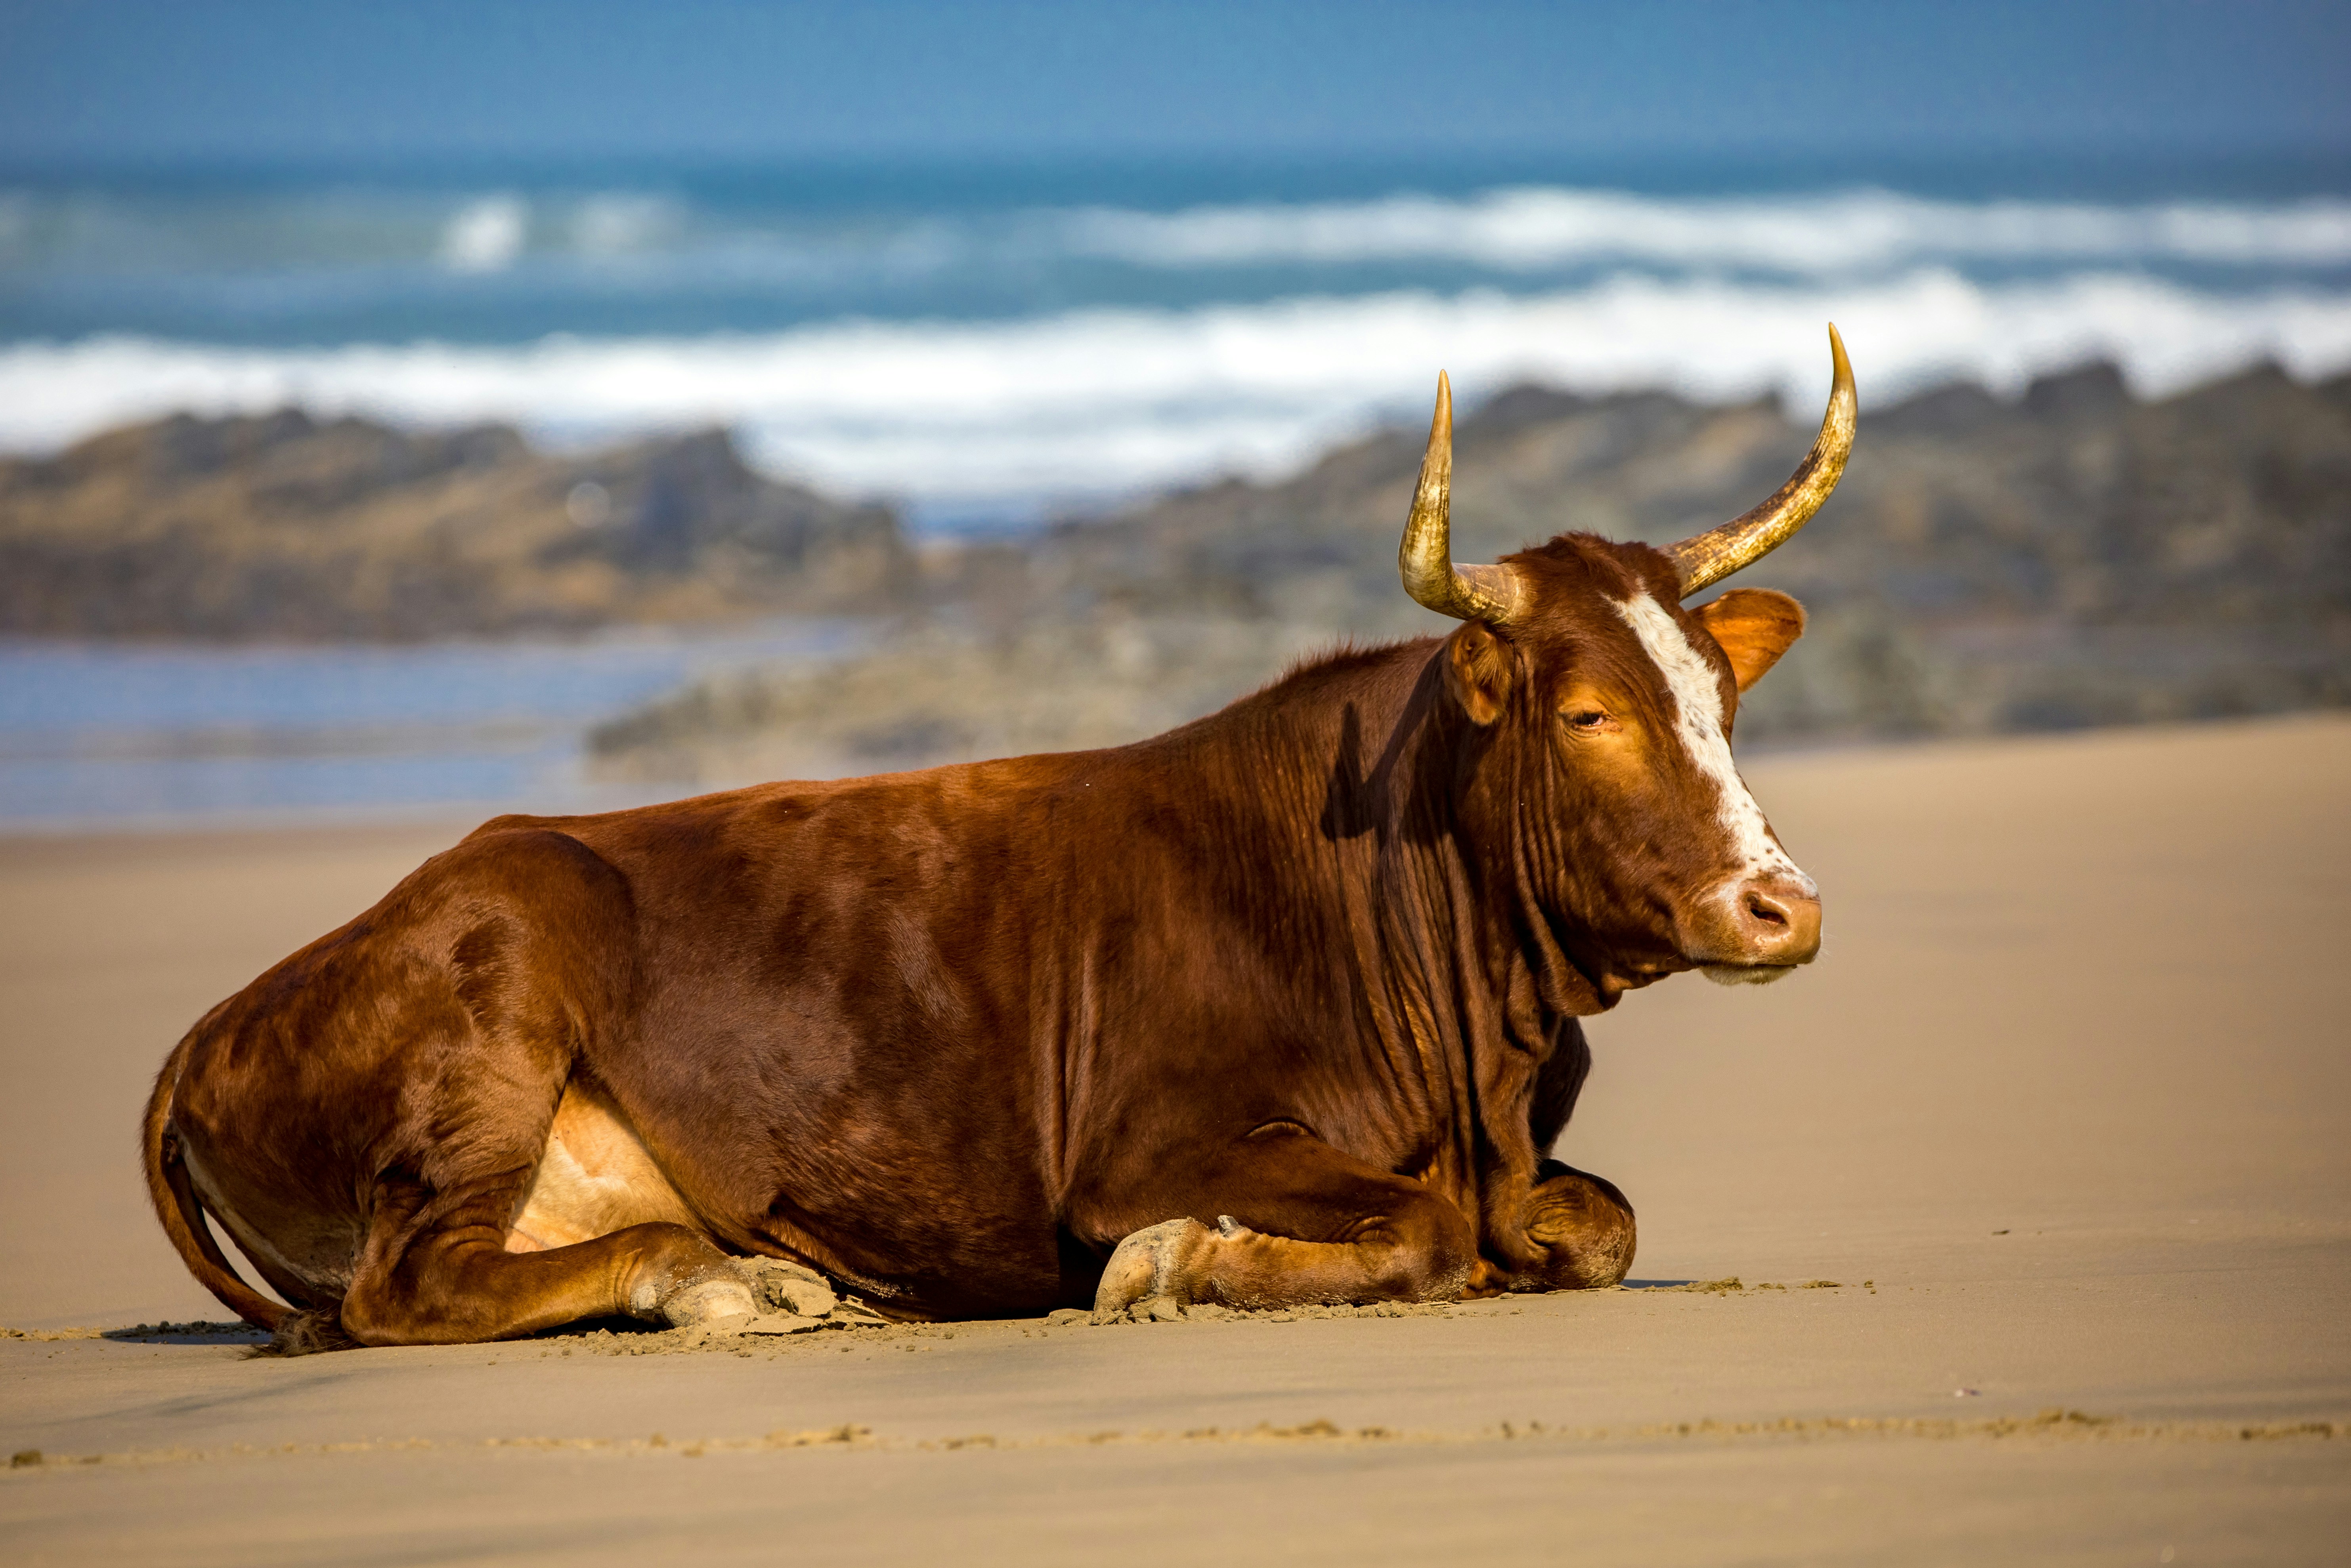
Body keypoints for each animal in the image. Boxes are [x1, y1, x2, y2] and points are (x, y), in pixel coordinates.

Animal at [142, 328, 1856, 1351]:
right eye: (1590, 713)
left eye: (1719, 692)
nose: (1780, 906)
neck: (1476, 1045)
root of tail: (224, 1010)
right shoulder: (1148, 1142)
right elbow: (1417, 1229)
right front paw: (1175, 1262)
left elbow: (1597, 1225)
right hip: (494, 994)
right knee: (404, 1285)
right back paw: (717, 1275)